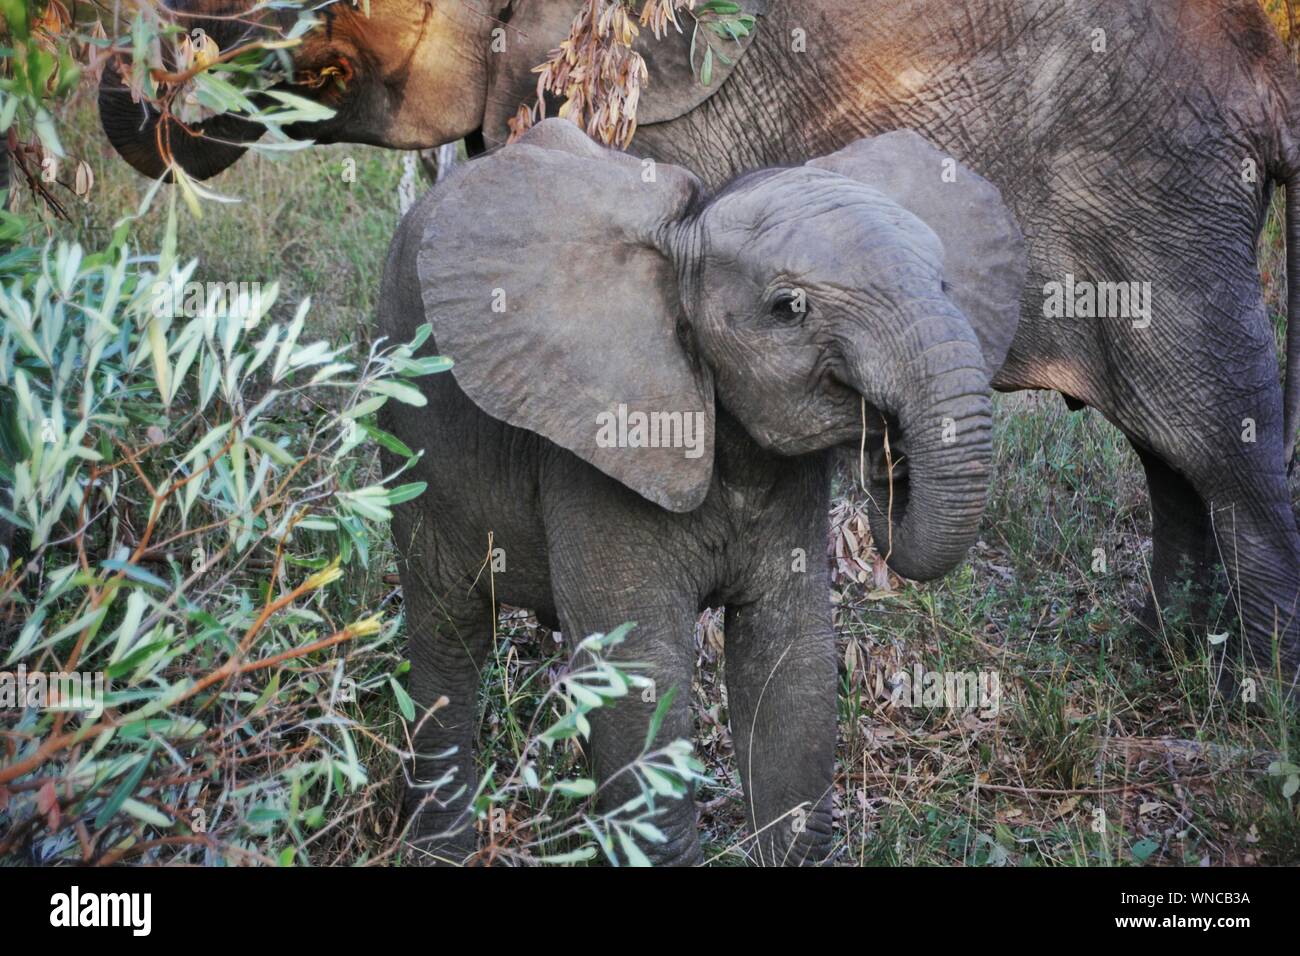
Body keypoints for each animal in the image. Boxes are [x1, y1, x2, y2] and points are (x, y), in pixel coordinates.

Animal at [99, 0, 1300, 682]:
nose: (153, 89)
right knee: (1171, 458)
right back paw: (1163, 667)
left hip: (1160, 199)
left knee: (1221, 445)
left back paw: (1244, 704)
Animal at [377, 118, 1024, 864]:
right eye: (788, 308)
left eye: (945, 282)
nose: (888, 455)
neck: (687, 237)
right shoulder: (600, 443)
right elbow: (643, 671)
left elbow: (790, 660)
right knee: (447, 634)